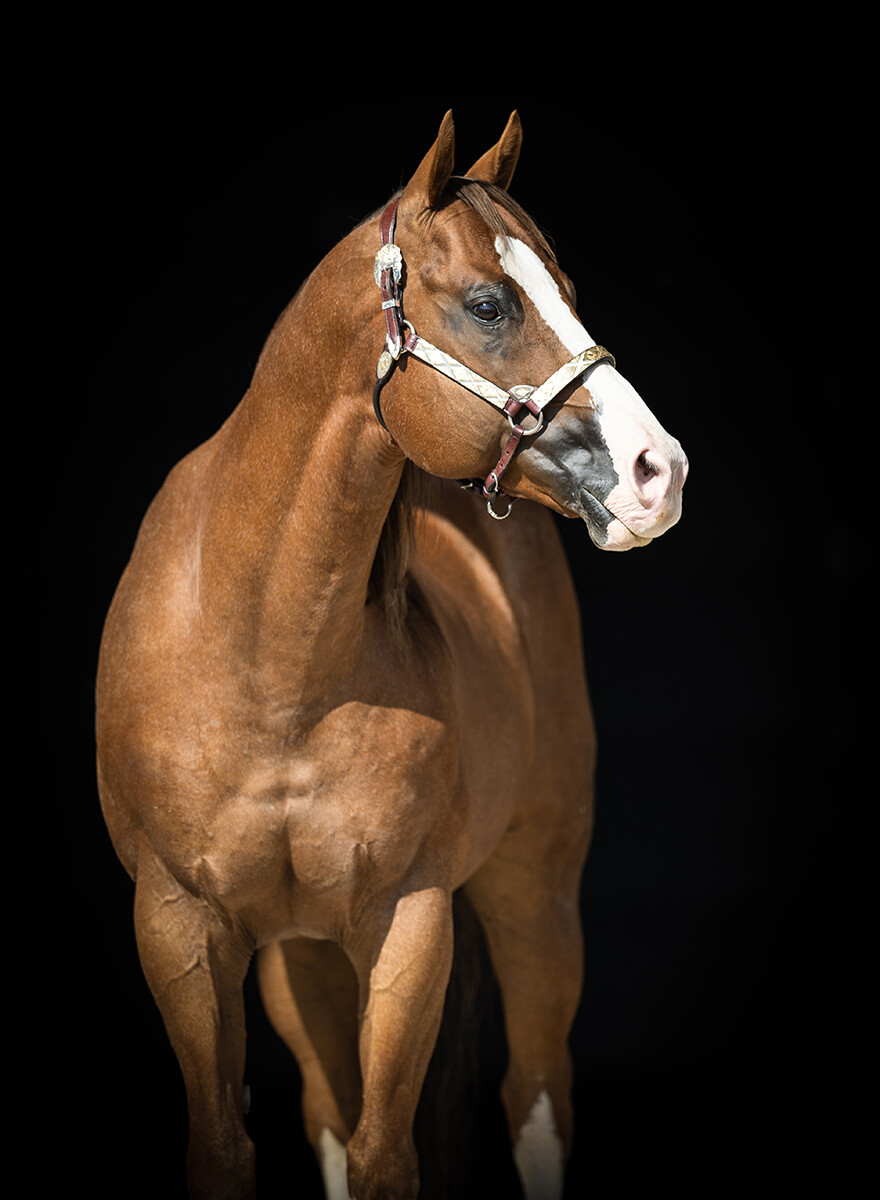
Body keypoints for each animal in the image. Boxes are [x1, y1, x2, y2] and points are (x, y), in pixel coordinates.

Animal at [95, 110, 687, 1200]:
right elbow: (236, 1146)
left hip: (533, 892)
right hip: (302, 958)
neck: (270, 664)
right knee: (331, 1111)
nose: (657, 471)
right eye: (490, 303)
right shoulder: (181, 924)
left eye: (566, 291)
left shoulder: (408, 918)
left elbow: (386, 1155)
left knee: (535, 1098)